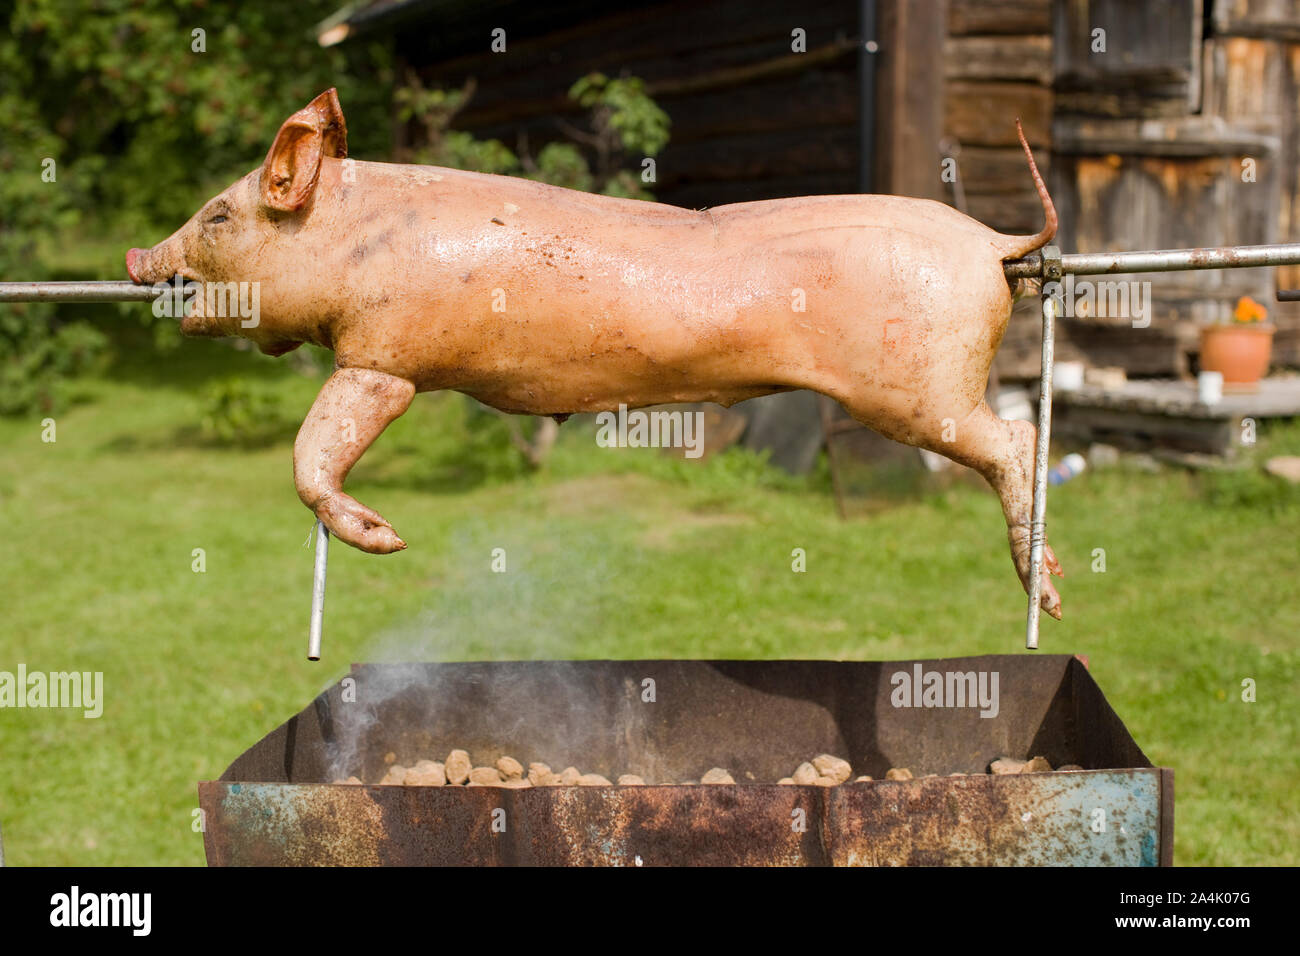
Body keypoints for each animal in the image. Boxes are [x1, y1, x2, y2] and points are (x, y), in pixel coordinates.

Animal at [126, 89, 1064, 619]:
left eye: (218, 215)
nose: (138, 257)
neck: (352, 238)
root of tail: (996, 243)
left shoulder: (383, 357)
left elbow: (313, 452)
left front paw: (389, 542)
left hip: (921, 390)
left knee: (1017, 442)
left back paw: (1048, 598)